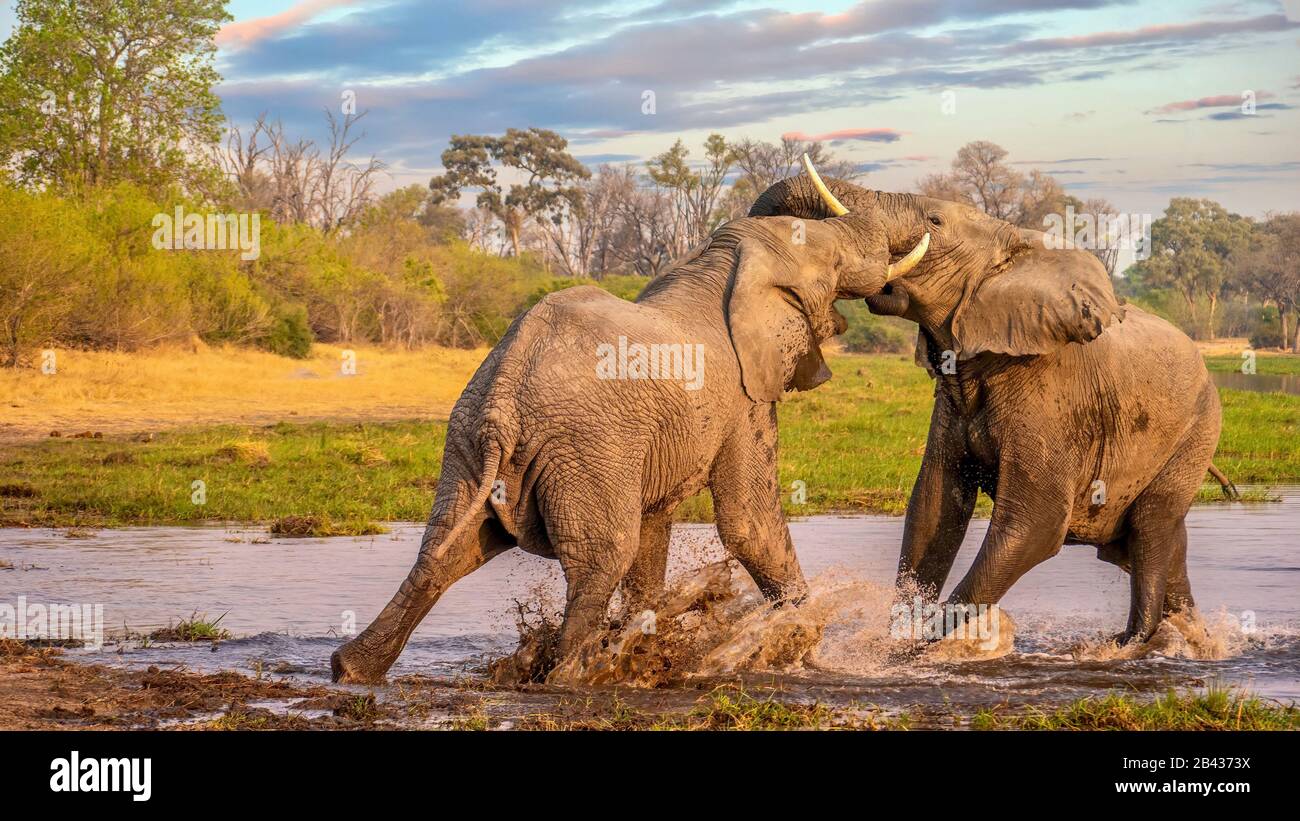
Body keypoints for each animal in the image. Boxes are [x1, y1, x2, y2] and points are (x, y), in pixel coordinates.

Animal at [331, 198, 930, 684]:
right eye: (834, 262)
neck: (719, 265)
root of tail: (506, 389)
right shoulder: (744, 398)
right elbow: (749, 521)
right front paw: (801, 647)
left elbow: (654, 533)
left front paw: (651, 638)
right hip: (585, 447)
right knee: (600, 560)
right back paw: (574, 674)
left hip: (469, 443)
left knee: (444, 551)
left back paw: (353, 670)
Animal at [750, 170, 1229, 646]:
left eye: (935, 220)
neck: (1010, 241)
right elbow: (933, 509)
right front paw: (898, 642)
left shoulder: (1051, 396)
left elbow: (1035, 525)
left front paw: (922, 649)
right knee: (1156, 547)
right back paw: (1192, 637)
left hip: (1195, 432)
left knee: (1151, 531)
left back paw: (1129, 642)